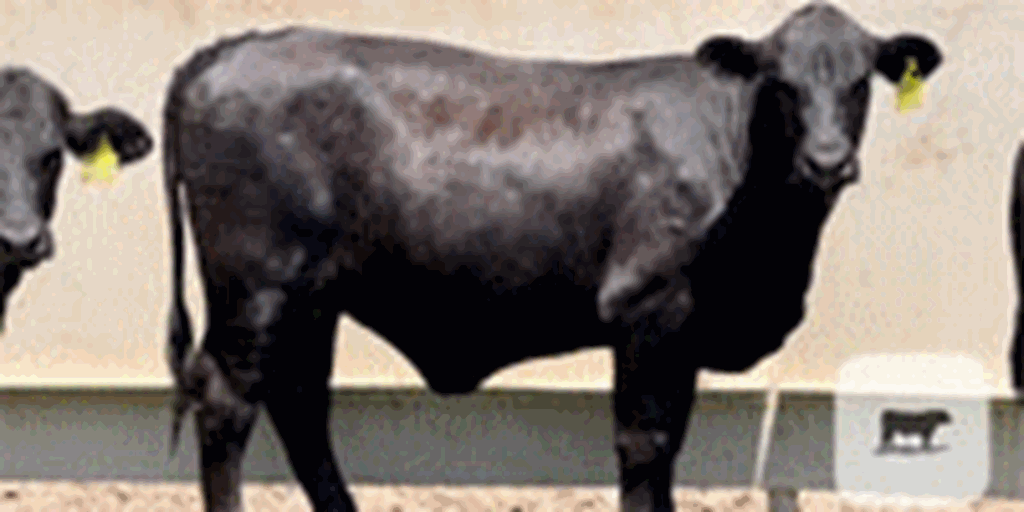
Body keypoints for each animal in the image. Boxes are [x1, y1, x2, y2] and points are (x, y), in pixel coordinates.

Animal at [161, 3, 942, 511]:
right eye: (780, 81)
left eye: (860, 80)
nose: (827, 161)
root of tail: (233, 47)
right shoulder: (648, 311)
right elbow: (646, 444)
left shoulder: (684, 337)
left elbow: (670, 447)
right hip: (256, 285)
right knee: (227, 401)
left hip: (312, 298)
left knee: (300, 404)